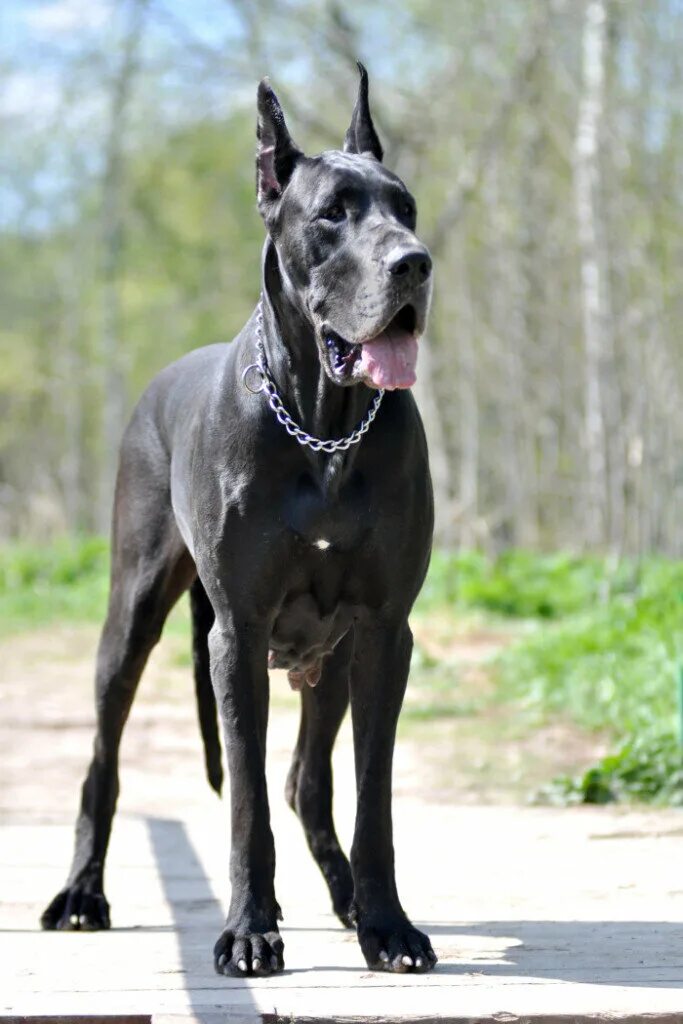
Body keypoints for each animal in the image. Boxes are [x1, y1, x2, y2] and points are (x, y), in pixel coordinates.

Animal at [42, 64, 436, 974]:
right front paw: (250, 930)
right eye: (332, 213)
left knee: (307, 782)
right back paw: (82, 893)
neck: (324, 424)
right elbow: (244, 804)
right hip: (131, 616)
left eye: (406, 208)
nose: (415, 264)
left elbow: (372, 797)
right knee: (103, 763)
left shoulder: (383, 629)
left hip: (332, 653)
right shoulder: (239, 631)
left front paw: (388, 925)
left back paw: (345, 900)